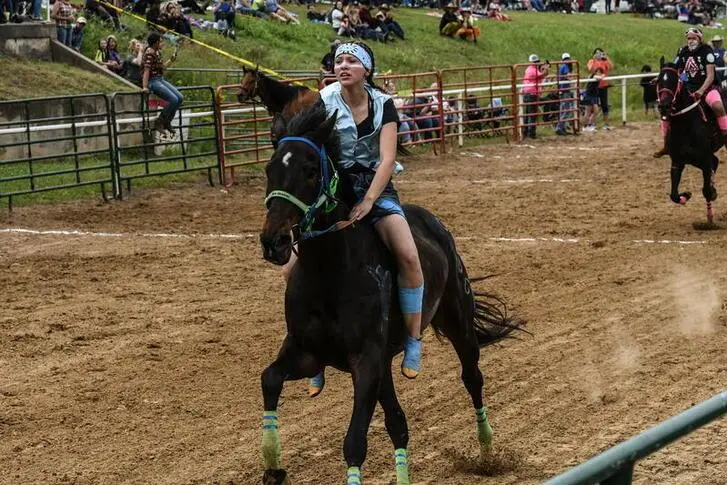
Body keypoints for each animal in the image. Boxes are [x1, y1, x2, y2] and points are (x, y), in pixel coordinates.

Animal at [258, 104, 524, 485]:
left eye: (310, 171)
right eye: (270, 168)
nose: (273, 241)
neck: (330, 273)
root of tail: (434, 224)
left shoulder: (367, 362)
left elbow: (355, 441)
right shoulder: (308, 353)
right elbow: (269, 379)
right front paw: (272, 465)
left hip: (458, 324)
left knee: (472, 378)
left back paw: (487, 452)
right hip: (384, 365)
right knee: (397, 422)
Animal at [657, 57, 720, 224]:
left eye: (675, 80)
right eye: (658, 80)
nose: (664, 106)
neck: (686, 124)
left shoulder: (704, 159)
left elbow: (706, 190)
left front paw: (710, 216)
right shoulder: (678, 161)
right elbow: (673, 195)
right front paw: (686, 196)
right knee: (716, 161)